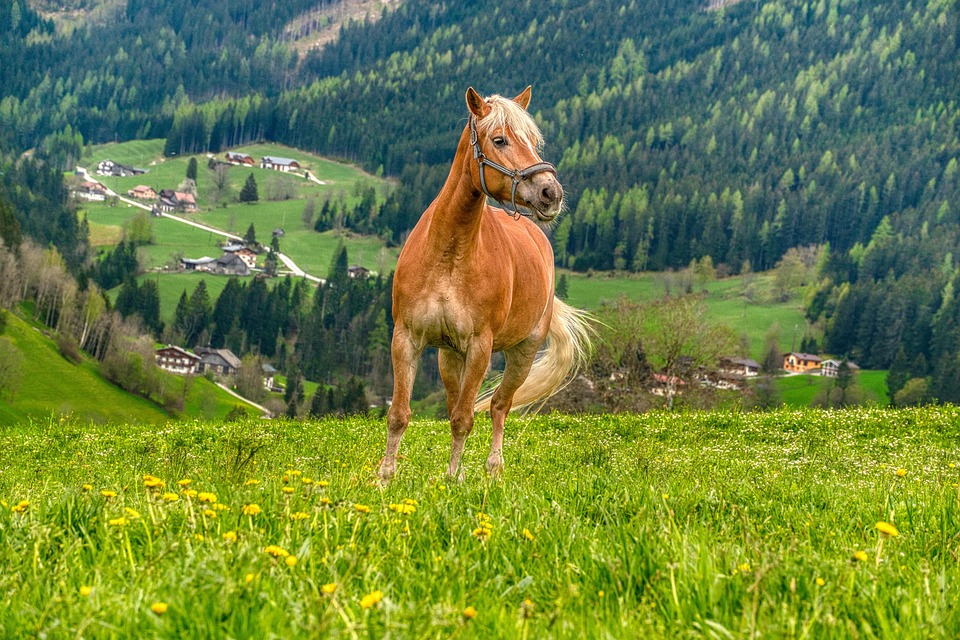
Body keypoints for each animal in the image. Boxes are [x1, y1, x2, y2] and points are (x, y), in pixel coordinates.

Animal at [379, 86, 593, 483]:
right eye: (500, 140)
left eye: (533, 142)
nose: (550, 193)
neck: (448, 257)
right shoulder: (406, 339)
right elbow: (399, 414)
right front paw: (384, 478)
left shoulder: (480, 347)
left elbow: (465, 419)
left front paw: (452, 478)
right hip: (449, 356)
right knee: (456, 402)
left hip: (522, 353)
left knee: (499, 406)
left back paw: (493, 468)